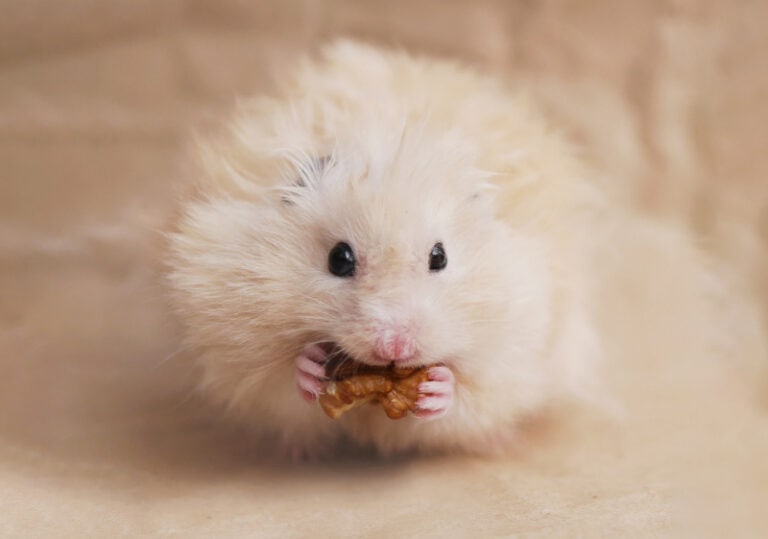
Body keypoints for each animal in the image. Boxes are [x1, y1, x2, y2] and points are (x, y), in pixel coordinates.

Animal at [165, 40, 604, 458]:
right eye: (339, 259)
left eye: (439, 257)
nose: (395, 346)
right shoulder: (234, 339)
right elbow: (279, 379)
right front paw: (308, 368)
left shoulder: (516, 348)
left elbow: (467, 393)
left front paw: (437, 387)